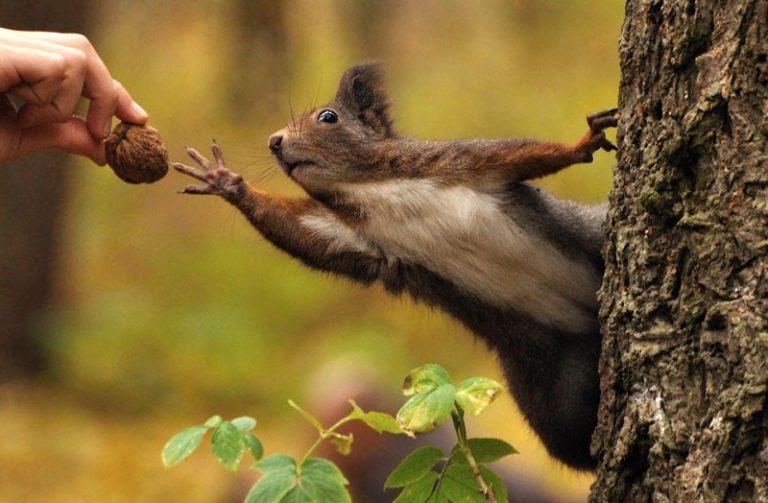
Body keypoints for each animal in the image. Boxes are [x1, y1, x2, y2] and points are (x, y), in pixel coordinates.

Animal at [174, 63, 618, 470]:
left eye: (328, 117)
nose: (273, 142)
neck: (371, 189)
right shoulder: (357, 238)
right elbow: (302, 233)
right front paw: (228, 183)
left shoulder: (462, 161)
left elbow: (525, 154)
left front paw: (582, 144)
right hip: (549, 384)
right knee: (571, 439)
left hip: (589, 238)